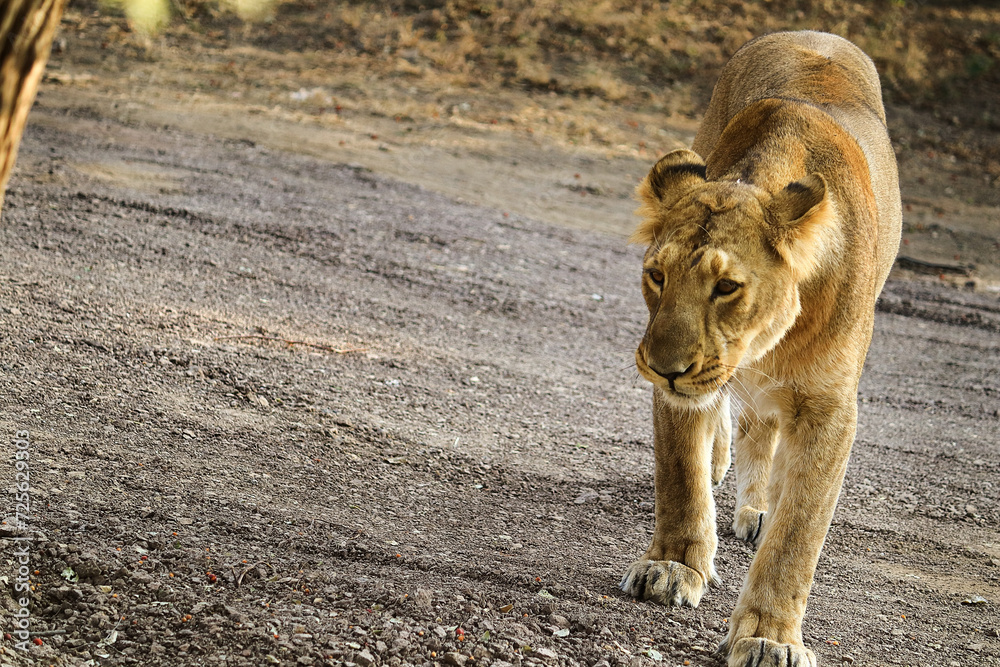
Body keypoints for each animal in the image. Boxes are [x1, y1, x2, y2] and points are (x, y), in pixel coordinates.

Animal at [619, 31, 901, 667]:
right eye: (656, 276)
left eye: (727, 287)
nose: (665, 369)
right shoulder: (684, 384)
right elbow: (680, 476)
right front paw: (673, 568)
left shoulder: (829, 407)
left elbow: (798, 534)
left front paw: (769, 637)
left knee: (764, 434)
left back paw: (756, 507)